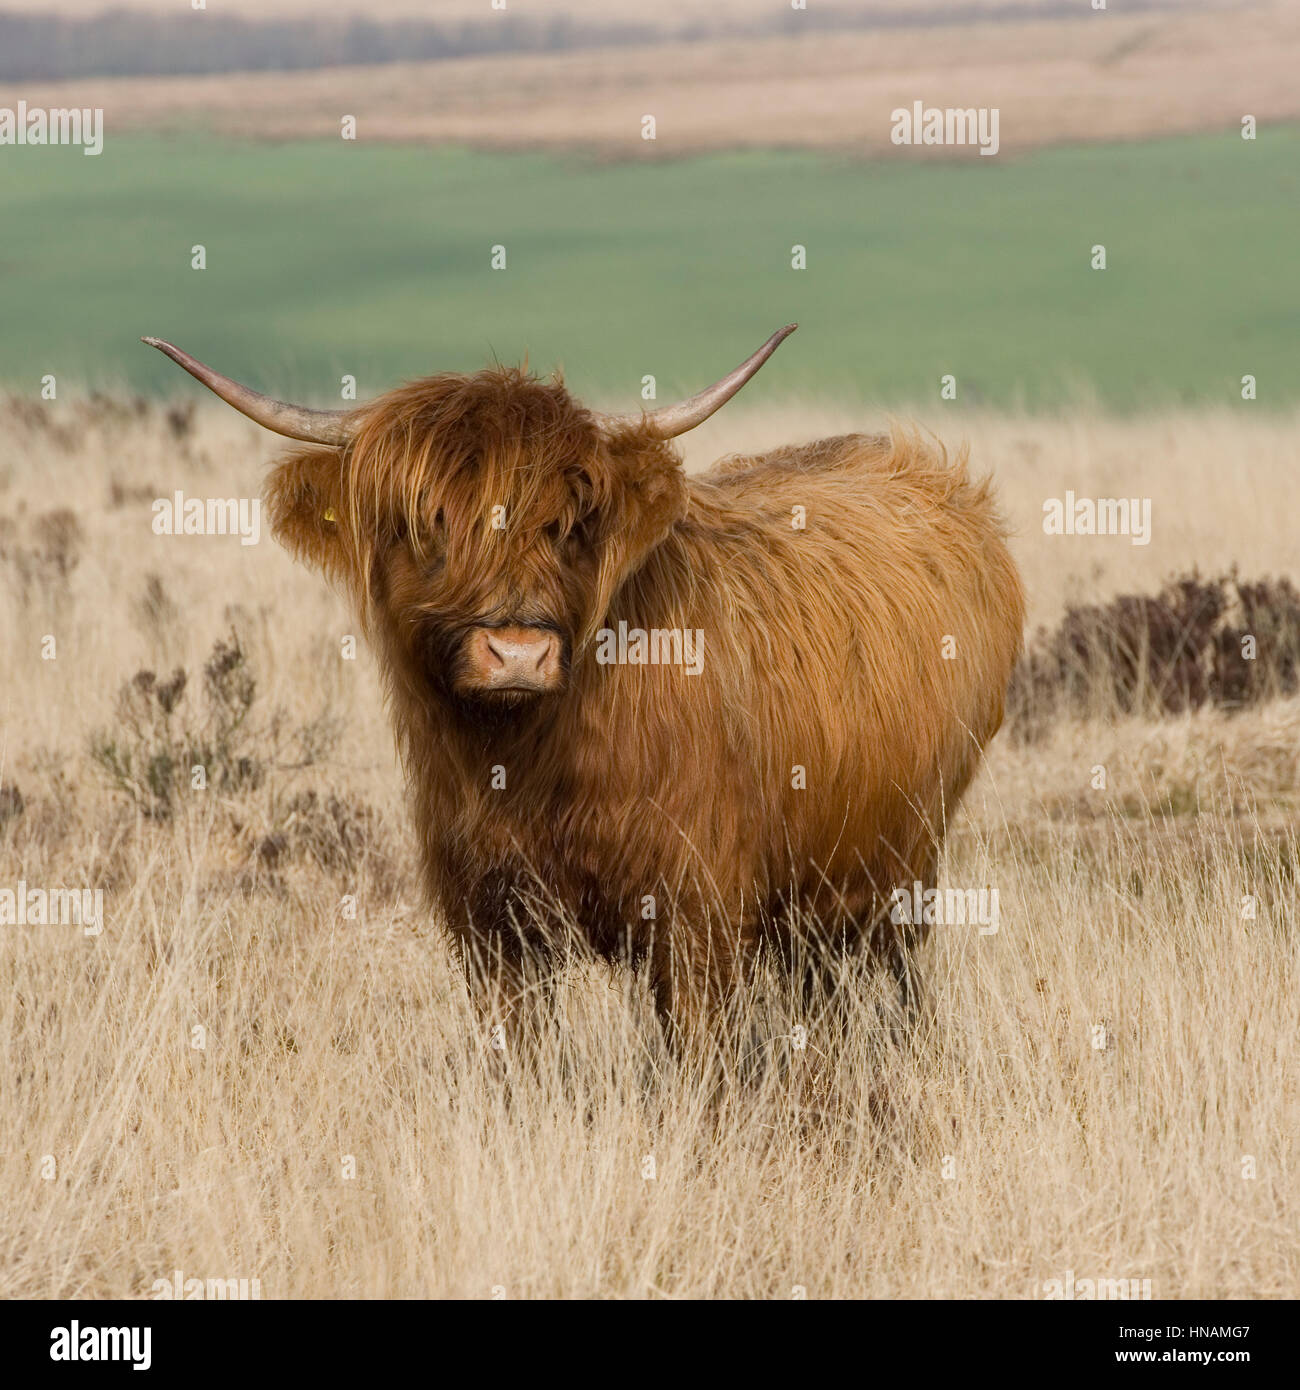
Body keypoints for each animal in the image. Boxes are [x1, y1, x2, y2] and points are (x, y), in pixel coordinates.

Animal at [143, 327, 1025, 1055]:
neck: (528, 759)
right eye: (430, 522)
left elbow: (698, 1055)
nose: (517, 652)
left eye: (568, 522)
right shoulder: (490, 918)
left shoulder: (695, 910)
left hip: (904, 862)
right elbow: (520, 1057)